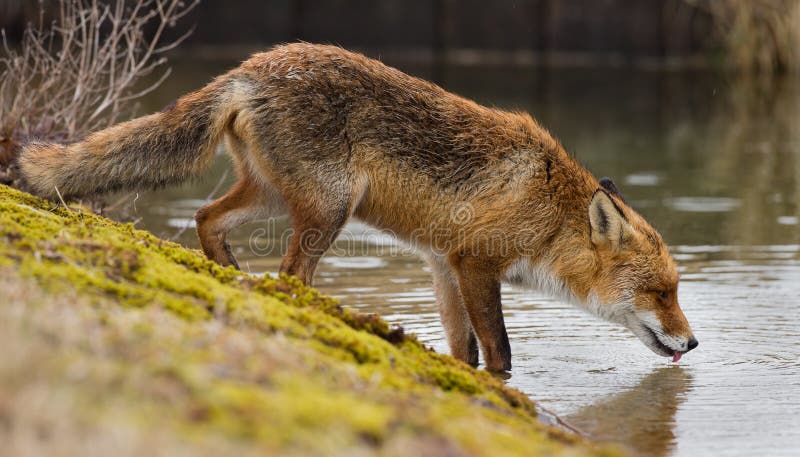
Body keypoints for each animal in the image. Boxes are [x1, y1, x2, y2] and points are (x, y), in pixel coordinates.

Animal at [17, 43, 698, 371]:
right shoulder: (475, 263)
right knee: (290, 271)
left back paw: (230, 279)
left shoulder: (442, 265)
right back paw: (295, 306)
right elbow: (500, 350)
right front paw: (507, 391)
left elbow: (464, 350)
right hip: (327, 211)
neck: (550, 210)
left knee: (205, 217)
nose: (692, 345)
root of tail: (250, 67)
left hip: (270, 197)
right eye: (660, 293)